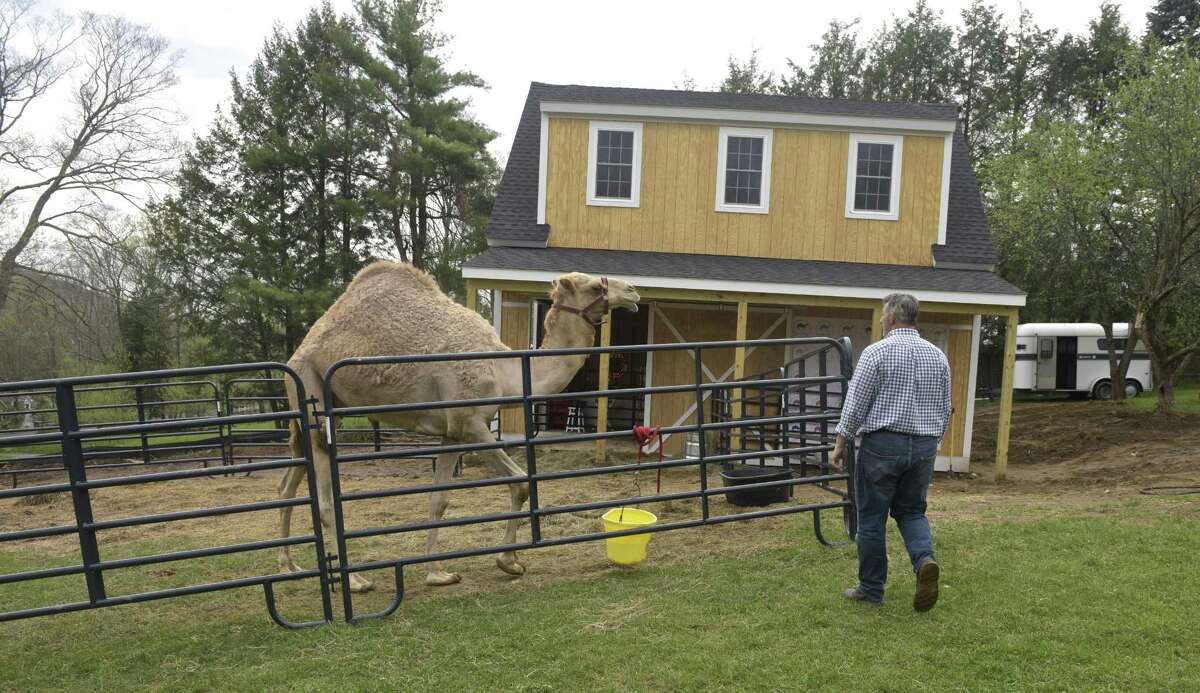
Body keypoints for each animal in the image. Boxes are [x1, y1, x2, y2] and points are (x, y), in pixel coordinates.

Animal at [277, 261, 640, 591]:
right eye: (593, 286)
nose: (633, 291)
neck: (506, 371)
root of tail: (297, 353)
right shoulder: (471, 424)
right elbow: (520, 482)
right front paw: (509, 561)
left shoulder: (451, 433)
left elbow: (438, 499)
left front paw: (437, 572)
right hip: (312, 395)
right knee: (325, 500)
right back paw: (354, 580)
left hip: (319, 412)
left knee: (287, 486)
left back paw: (290, 566)